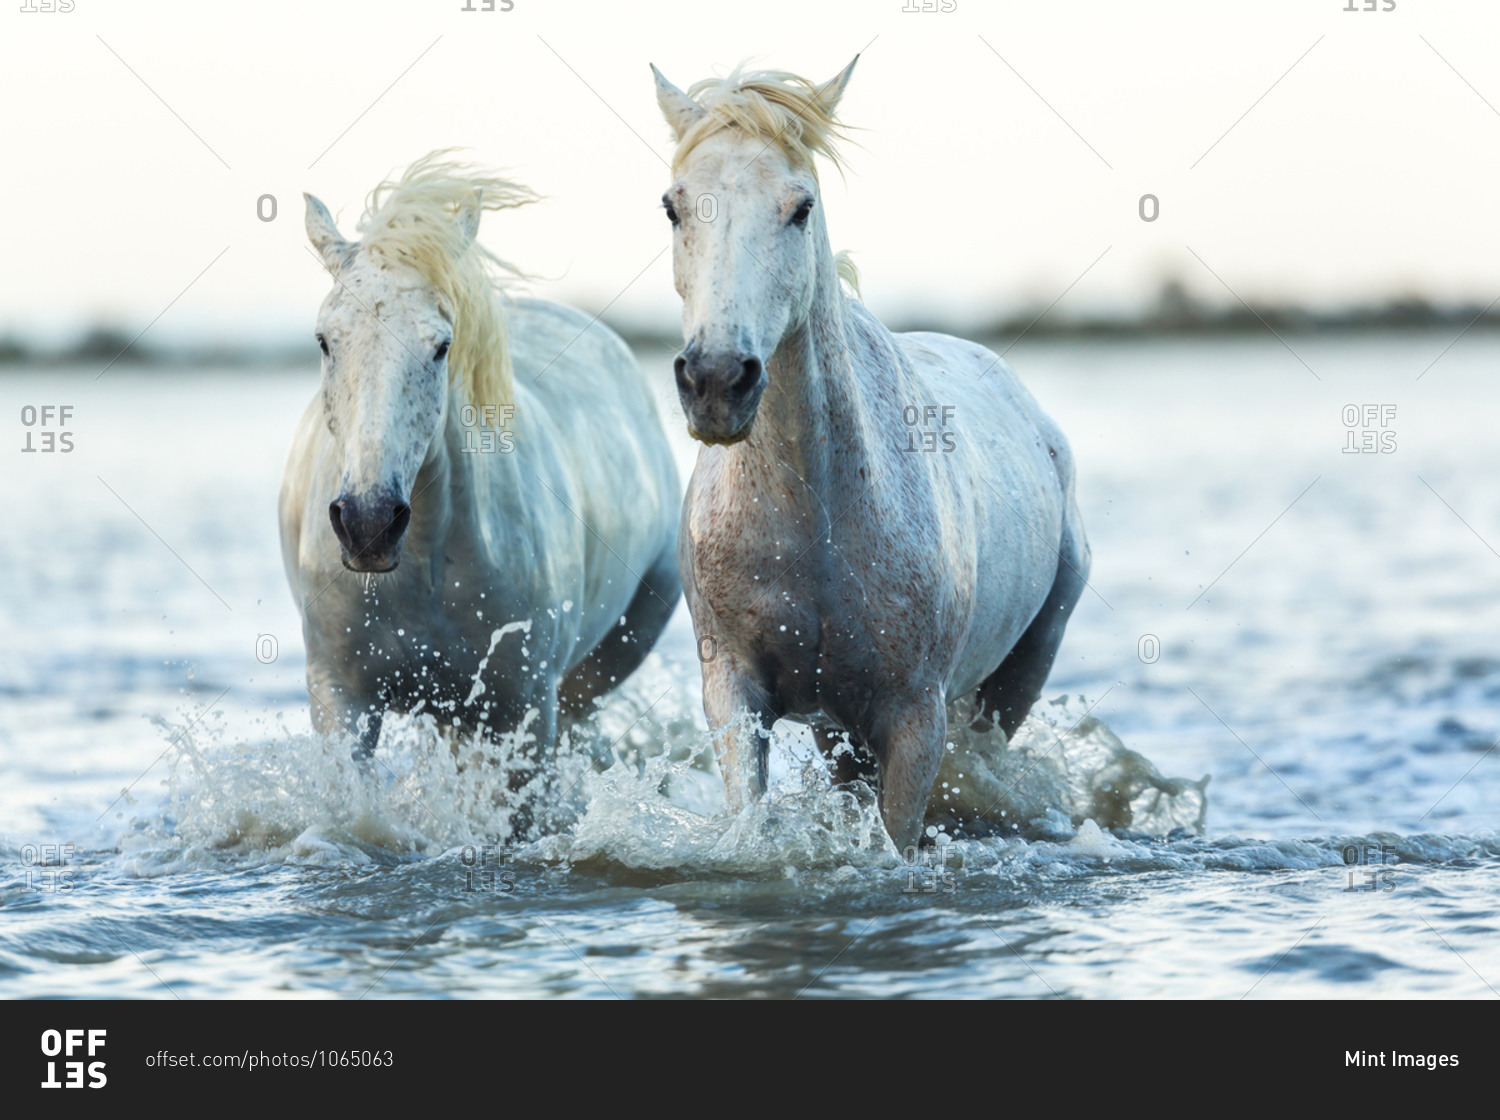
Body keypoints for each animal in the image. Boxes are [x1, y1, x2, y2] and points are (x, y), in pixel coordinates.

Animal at [279, 153, 682, 806]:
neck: (421, 569)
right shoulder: (342, 698)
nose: (369, 524)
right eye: (324, 341)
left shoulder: (522, 712)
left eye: (441, 347)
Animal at [651, 61, 1091, 849]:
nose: (717, 381)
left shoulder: (915, 718)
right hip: (840, 731)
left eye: (800, 208)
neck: (816, 516)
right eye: (673, 207)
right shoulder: (734, 693)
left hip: (1019, 680)